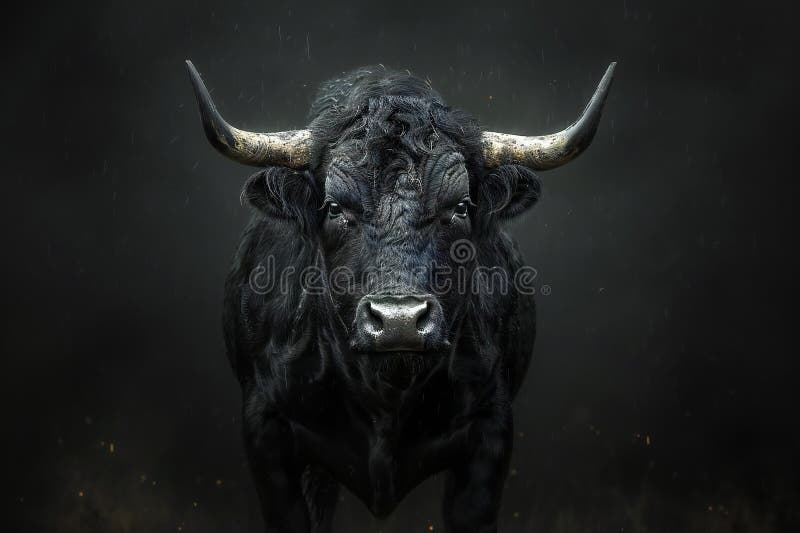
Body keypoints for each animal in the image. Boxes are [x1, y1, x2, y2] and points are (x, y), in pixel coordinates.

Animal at [186, 60, 614, 532]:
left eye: (460, 207)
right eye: (334, 207)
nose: (399, 321)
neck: (385, 396)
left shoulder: (491, 431)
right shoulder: (266, 428)